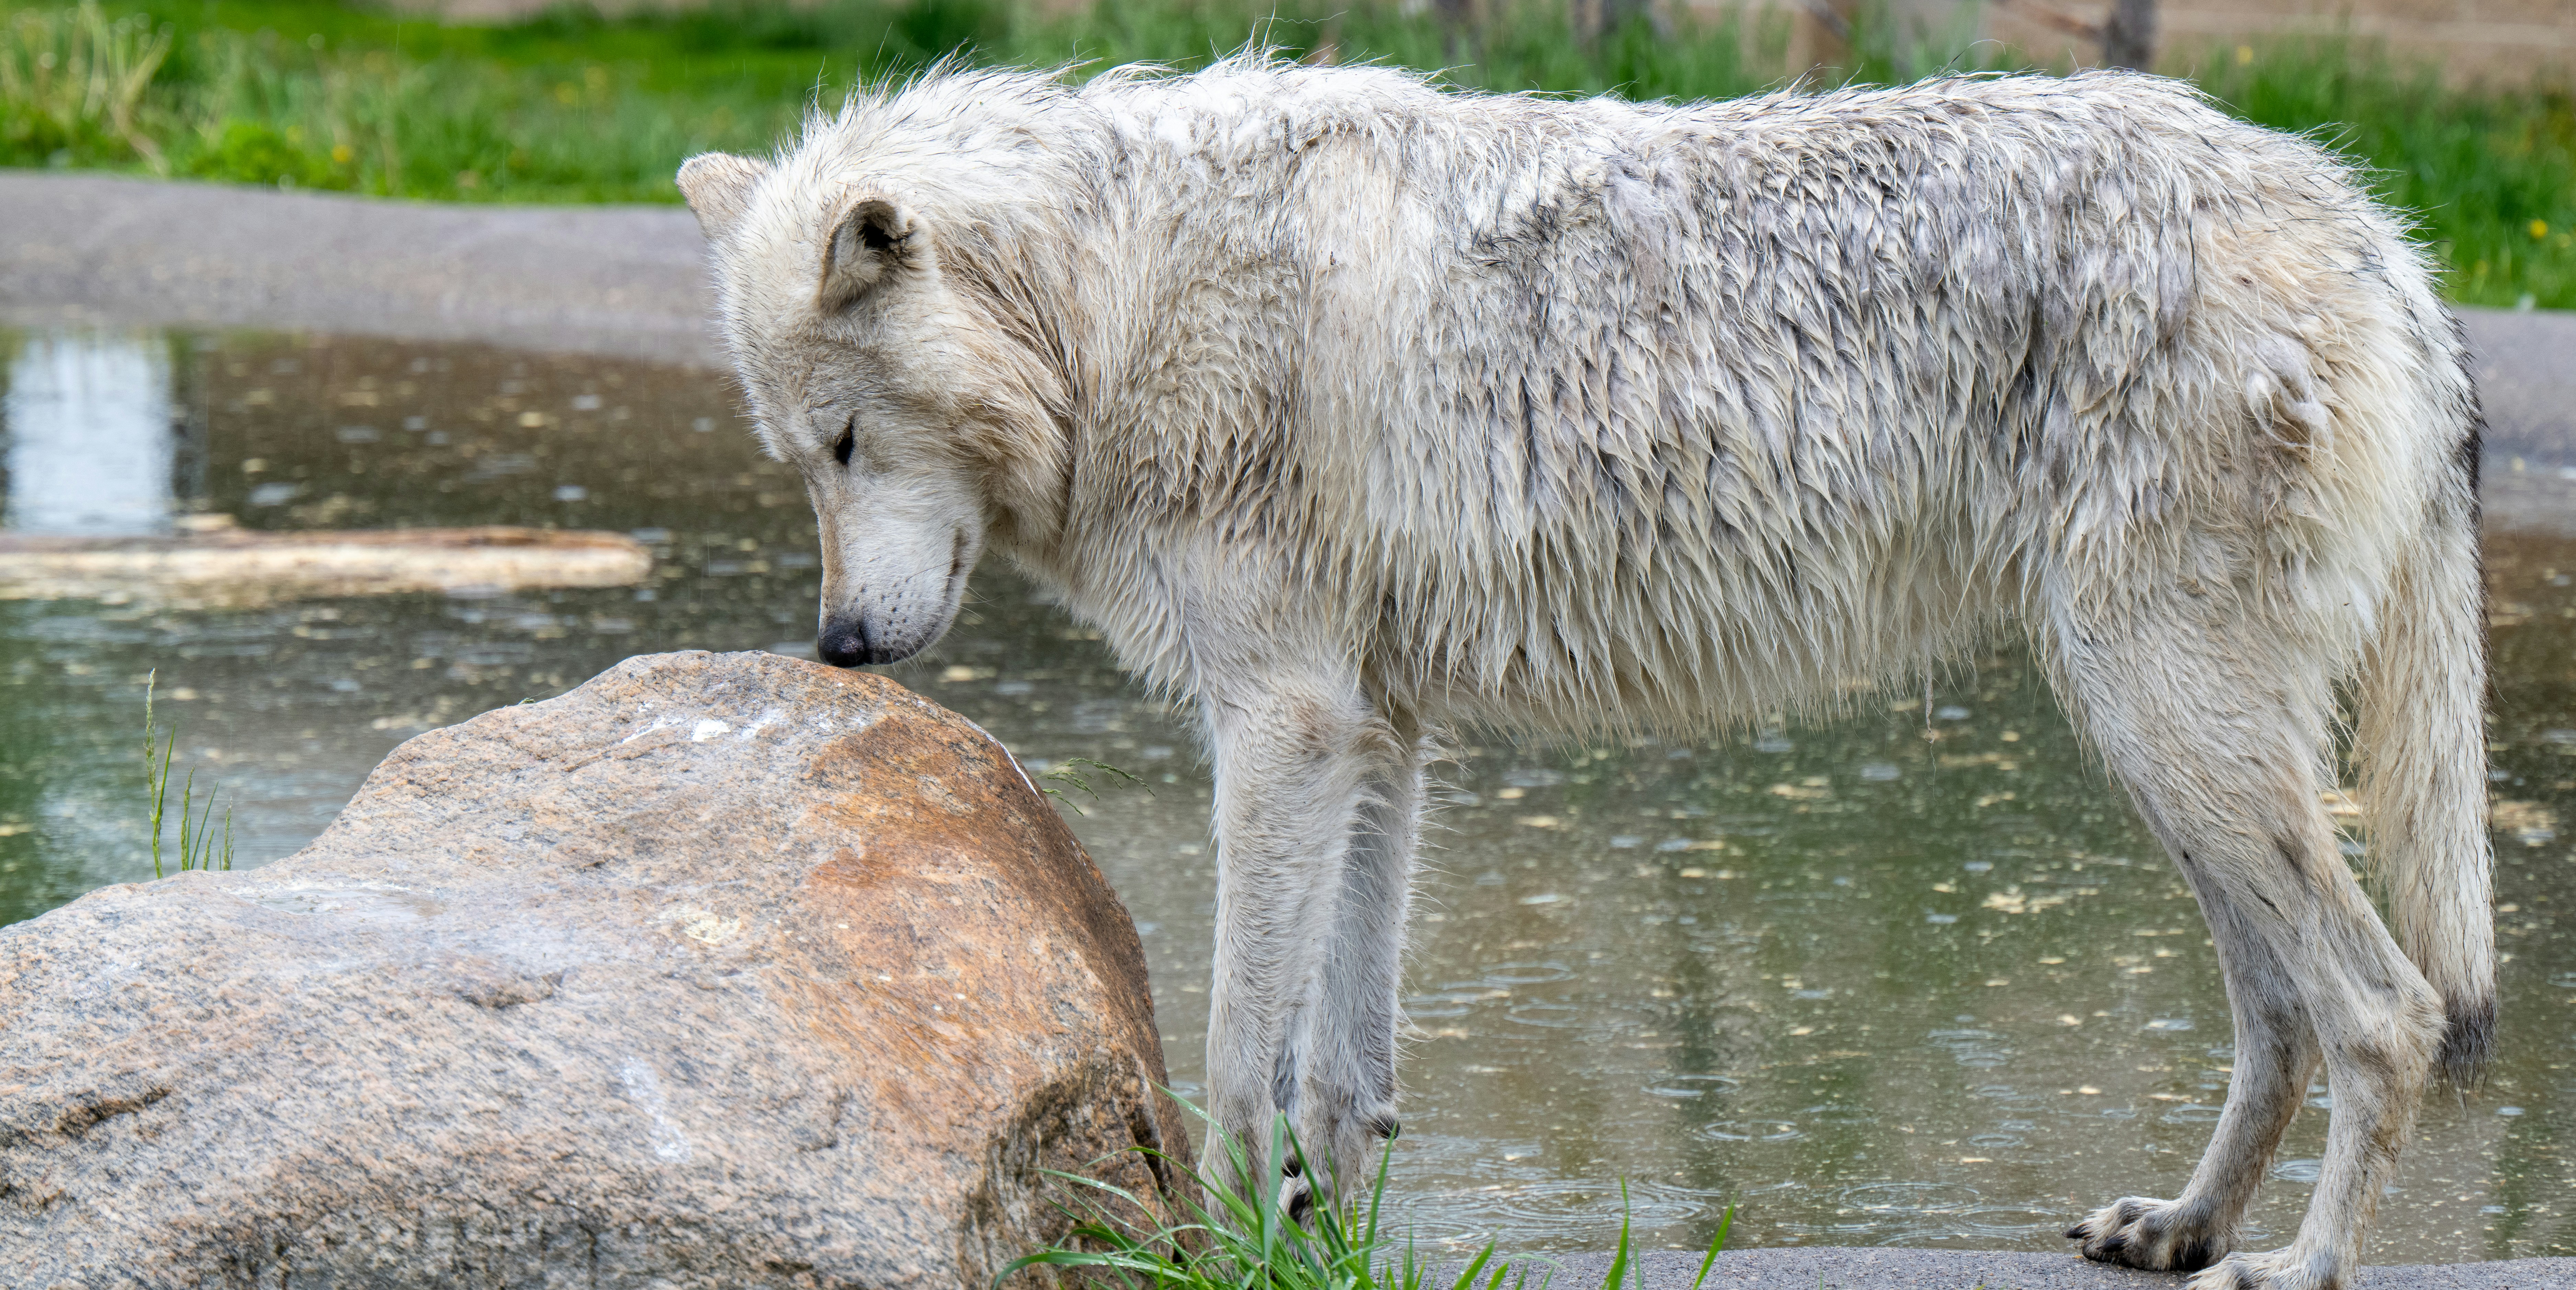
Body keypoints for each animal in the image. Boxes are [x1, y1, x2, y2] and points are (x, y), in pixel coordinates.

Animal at [677, 57, 2490, 1290]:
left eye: (847, 444)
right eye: (792, 457)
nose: (836, 648)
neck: (1116, 302)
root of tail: (2376, 232)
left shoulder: (1280, 726)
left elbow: (1238, 1051)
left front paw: (1220, 1244)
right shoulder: (1378, 736)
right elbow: (1345, 1071)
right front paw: (1321, 1238)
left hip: (2166, 723)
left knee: (2387, 1010)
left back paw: (2298, 1261)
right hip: (2157, 741)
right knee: (2278, 1011)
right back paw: (2177, 1227)